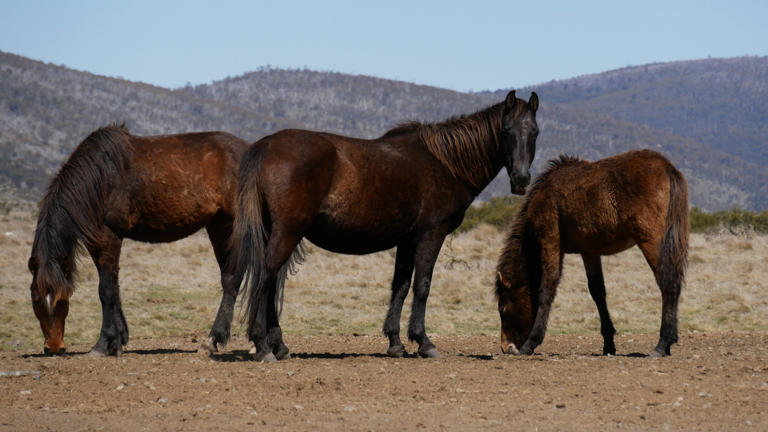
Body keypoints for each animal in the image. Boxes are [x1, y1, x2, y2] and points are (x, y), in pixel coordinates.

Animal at [27, 124, 250, 356]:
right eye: (35, 298)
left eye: (62, 298)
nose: (54, 348)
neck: (98, 179)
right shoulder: (96, 243)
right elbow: (113, 287)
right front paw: (118, 341)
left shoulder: (109, 236)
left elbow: (105, 290)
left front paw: (102, 344)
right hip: (218, 226)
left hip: (230, 226)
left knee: (232, 279)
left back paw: (213, 340)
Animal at [231, 90, 540, 362]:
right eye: (506, 130)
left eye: (534, 131)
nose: (521, 179)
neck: (445, 162)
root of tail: (266, 145)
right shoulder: (431, 235)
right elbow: (422, 286)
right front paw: (424, 342)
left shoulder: (406, 241)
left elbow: (400, 287)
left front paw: (396, 343)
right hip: (287, 233)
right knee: (265, 277)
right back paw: (263, 346)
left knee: (270, 282)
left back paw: (280, 346)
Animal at [495, 149, 689, 357]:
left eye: (502, 307)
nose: (506, 347)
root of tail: (667, 167)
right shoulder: (589, 252)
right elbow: (597, 292)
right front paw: (608, 344)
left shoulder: (550, 241)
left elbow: (547, 287)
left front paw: (531, 343)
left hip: (650, 242)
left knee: (668, 283)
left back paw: (662, 344)